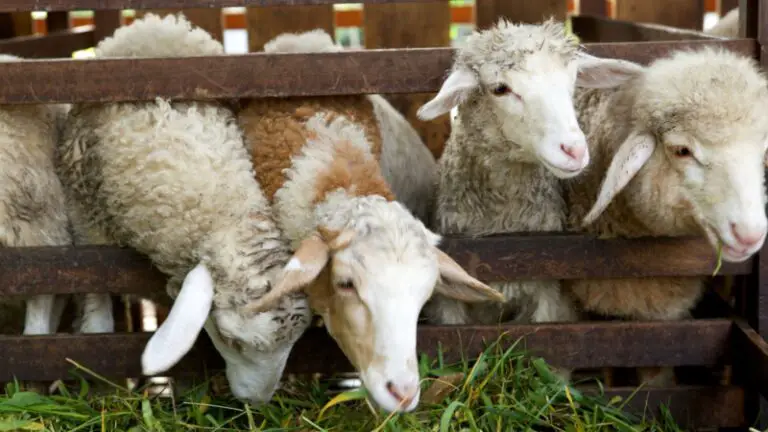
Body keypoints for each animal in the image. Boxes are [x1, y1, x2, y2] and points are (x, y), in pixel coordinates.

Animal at [55, 13, 314, 405]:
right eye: (231, 340)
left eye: (295, 342)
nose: (256, 403)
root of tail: (153, 23)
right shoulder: (86, 230)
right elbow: (97, 313)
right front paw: (105, 390)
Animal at [415, 19, 642, 337]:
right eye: (500, 88)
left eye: (572, 80)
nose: (574, 150)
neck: (506, 234)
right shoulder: (449, 305)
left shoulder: (549, 293)